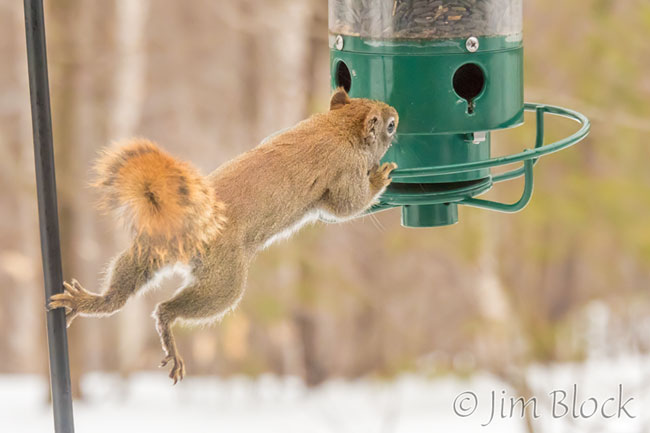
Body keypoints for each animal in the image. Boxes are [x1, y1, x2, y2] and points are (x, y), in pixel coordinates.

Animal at [48, 88, 399, 384]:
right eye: (390, 126)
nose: (395, 111)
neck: (336, 127)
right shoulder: (345, 171)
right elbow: (347, 204)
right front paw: (380, 177)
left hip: (147, 250)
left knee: (119, 294)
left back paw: (89, 301)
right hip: (225, 281)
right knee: (171, 307)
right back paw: (167, 325)